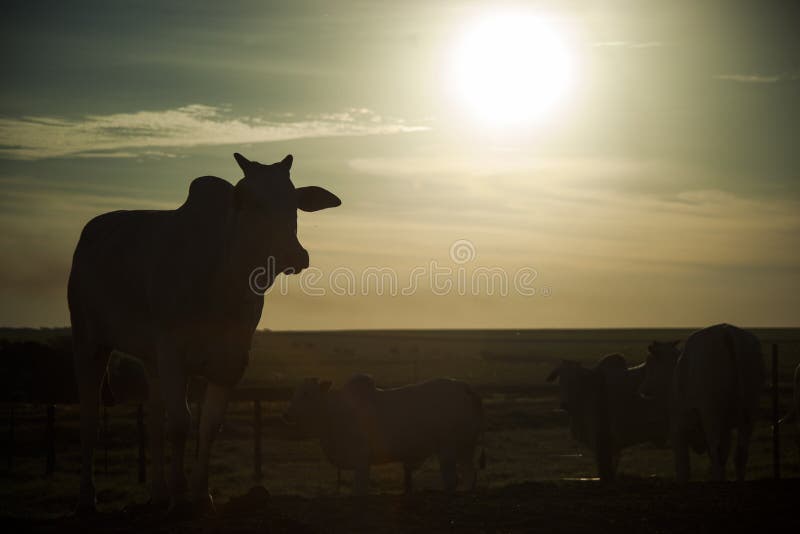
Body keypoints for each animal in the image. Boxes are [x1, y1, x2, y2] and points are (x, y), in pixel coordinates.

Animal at [68, 153, 340, 514]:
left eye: (294, 202)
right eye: (251, 201)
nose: (293, 255)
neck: (224, 280)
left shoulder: (231, 361)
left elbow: (208, 426)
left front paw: (200, 494)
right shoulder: (173, 354)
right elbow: (180, 423)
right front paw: (181, 493)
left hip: (150, 360)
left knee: (154, 420)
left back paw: (158, 492)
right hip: (89, 342)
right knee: (90, 419)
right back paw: (87, 498)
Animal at [283, 375, 485, 495]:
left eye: (307, 393)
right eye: (295, 392)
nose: (288, 414)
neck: (335, 412)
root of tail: (464, 387)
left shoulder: (361, 460)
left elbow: (359, 490)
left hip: (448, 449)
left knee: (452, 479)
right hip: (465, 447)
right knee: (469, 474)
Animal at [639, 323, 765, 482]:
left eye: (650, 362)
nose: (643, 389)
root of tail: (725, 330)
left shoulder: (678, 431)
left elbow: (683, 469)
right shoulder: (725, 430)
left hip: (711, 416)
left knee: (717, 457)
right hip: (749, 415)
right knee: (739, 457)